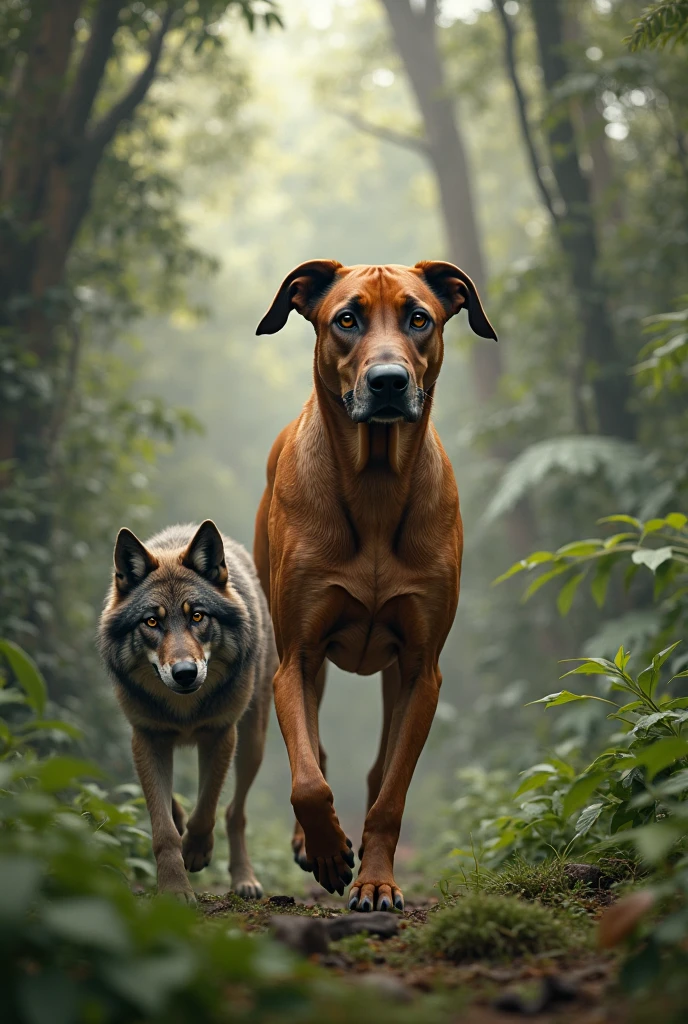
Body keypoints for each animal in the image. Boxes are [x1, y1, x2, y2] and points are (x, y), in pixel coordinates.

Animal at [98, 519, 276, 904]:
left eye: (197, 616)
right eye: (151, 622)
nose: (184, 673)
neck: (184, 711)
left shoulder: (221, 734)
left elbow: (206, 809)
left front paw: (196, 851)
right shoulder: (146, 738)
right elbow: (163, 827)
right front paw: (175, 888)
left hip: (253, 743)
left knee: (234, 812)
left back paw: (245, 879)